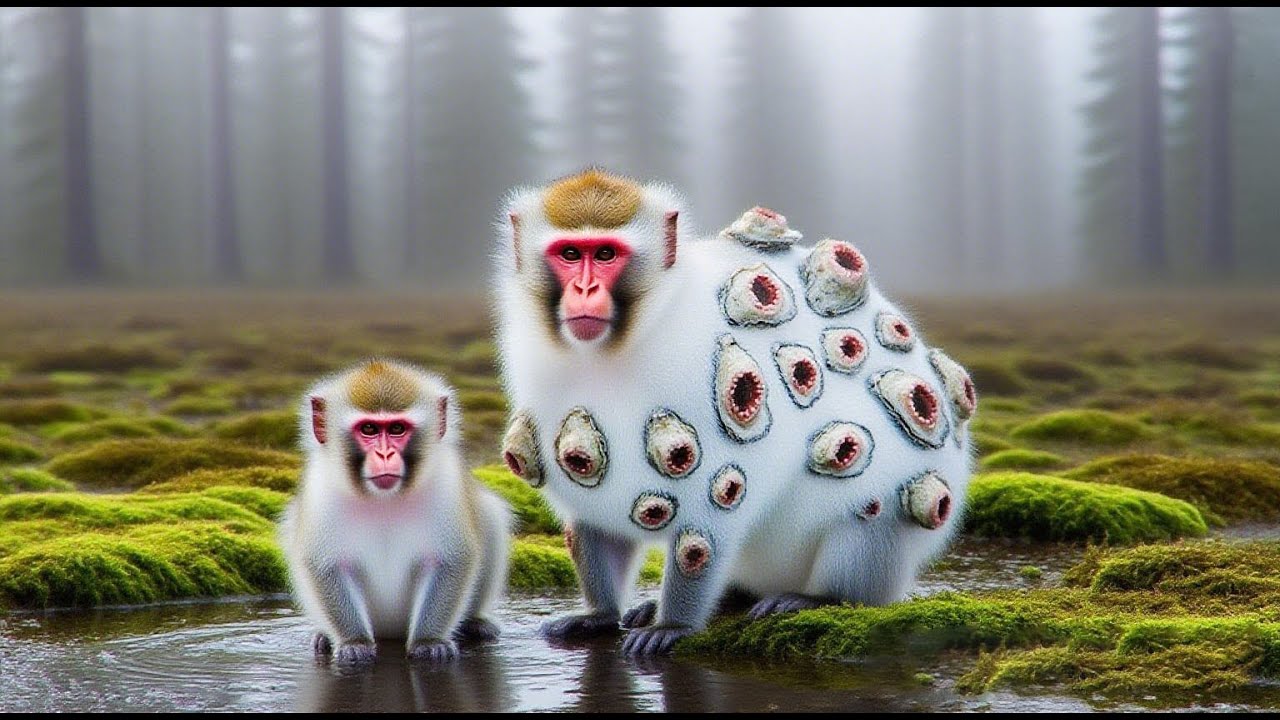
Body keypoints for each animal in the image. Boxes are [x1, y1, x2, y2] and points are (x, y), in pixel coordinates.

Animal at [279, 359, 511, 665]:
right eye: (368, 429)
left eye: (398, 428)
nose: (385, 455)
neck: (385, 500)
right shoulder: (321, 490)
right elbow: (326, 564)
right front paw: (354, 642)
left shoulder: (446, 482)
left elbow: (450, 559)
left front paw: (428, 641)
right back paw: (324, 636)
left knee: (490, 516)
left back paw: (474, 624)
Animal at [493, 170, 976, 655]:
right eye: (570, 253)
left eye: (607, 254)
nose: (585, 290)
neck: (620, 347)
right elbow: (593, 525)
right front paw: (600, 614)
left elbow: (703, 536)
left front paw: (675, 624)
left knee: (871, 514)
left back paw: (816, 598)